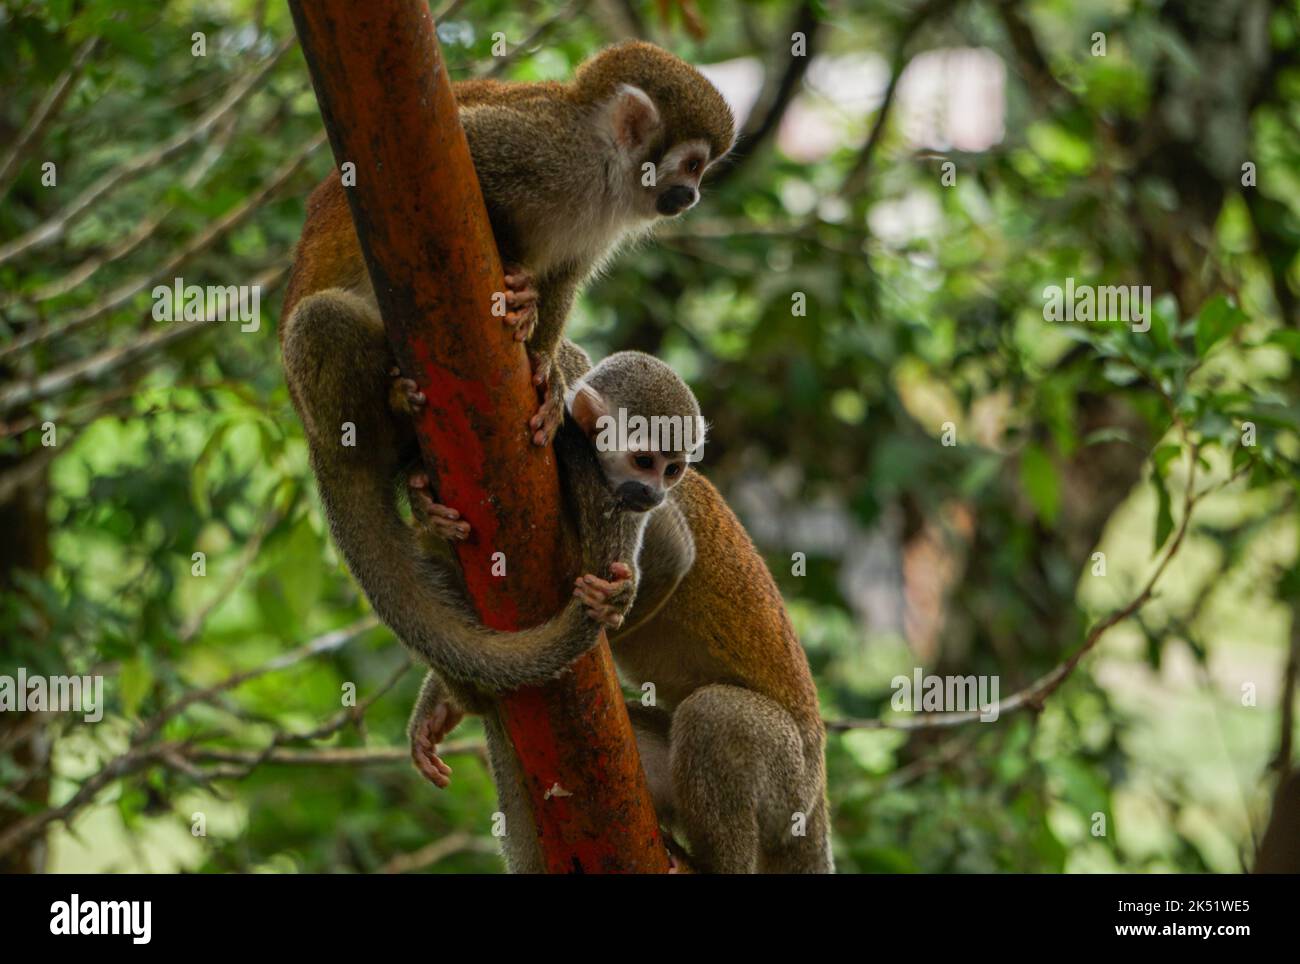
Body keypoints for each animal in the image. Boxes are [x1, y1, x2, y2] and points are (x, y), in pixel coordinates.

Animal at [281, 40, 735, 449]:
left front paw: (546, 367)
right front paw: (520, 284)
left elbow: (565, 276)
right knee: (319, 318)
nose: (692, 195)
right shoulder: (546, 147)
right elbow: (418, 164)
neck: (603, 166)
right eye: (692, 165)